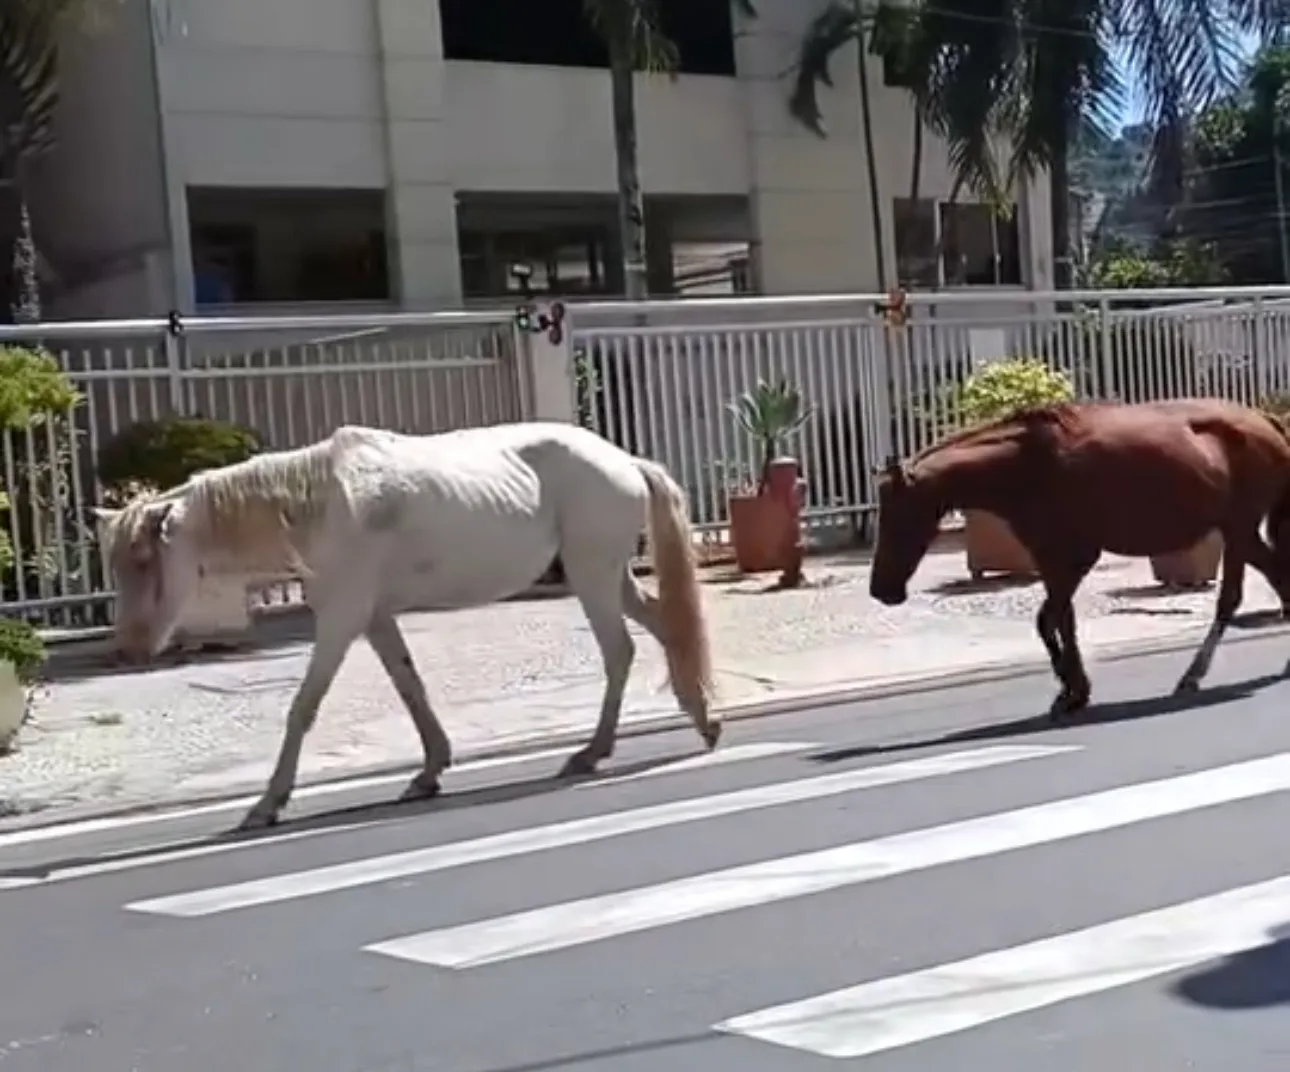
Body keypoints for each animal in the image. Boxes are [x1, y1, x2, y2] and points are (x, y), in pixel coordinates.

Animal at [95, 417, 722, 830]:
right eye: (117, 564)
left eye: (145, 559)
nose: (128, 648)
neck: (318, 505)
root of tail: (625, 461)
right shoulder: (373, 618)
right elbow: (409, 685)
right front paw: (429, 771)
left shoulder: (342, 617)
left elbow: (304, 706)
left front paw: (268, 803)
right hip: (610, 575)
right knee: (664, 628)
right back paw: (701, 720)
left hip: (592, 573)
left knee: (620, 651)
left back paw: (594, 751)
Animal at [866, 397, 1290, 717]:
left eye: (899, 516)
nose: (881, 590)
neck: (1027, 463)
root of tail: (1268, 422)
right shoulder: (1052, 558)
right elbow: (1057, 620)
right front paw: (1073, 688)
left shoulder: (1073, 556)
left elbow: (1050, 620)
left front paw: (1072, 689)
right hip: (1239, 531)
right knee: (1272, 578)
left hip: (1238, 528)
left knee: (1233, 597)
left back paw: (1193, 675)